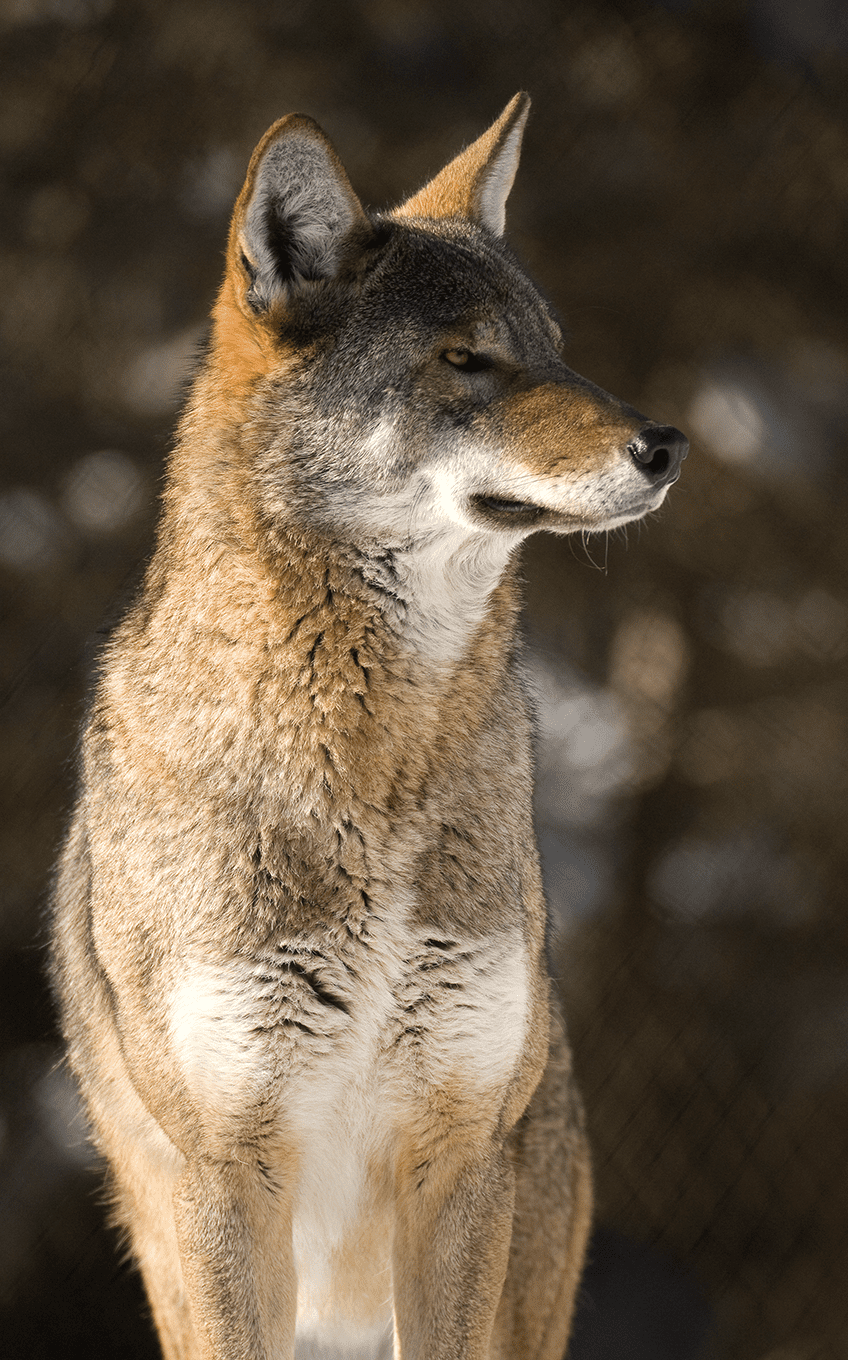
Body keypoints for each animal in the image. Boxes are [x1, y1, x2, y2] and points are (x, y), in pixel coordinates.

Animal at [50, 93, 686, 1360]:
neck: (369, 773)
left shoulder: (455, 1165)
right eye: (465, 358)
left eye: (552, 349)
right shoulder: (229, 1180)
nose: (662, 445)